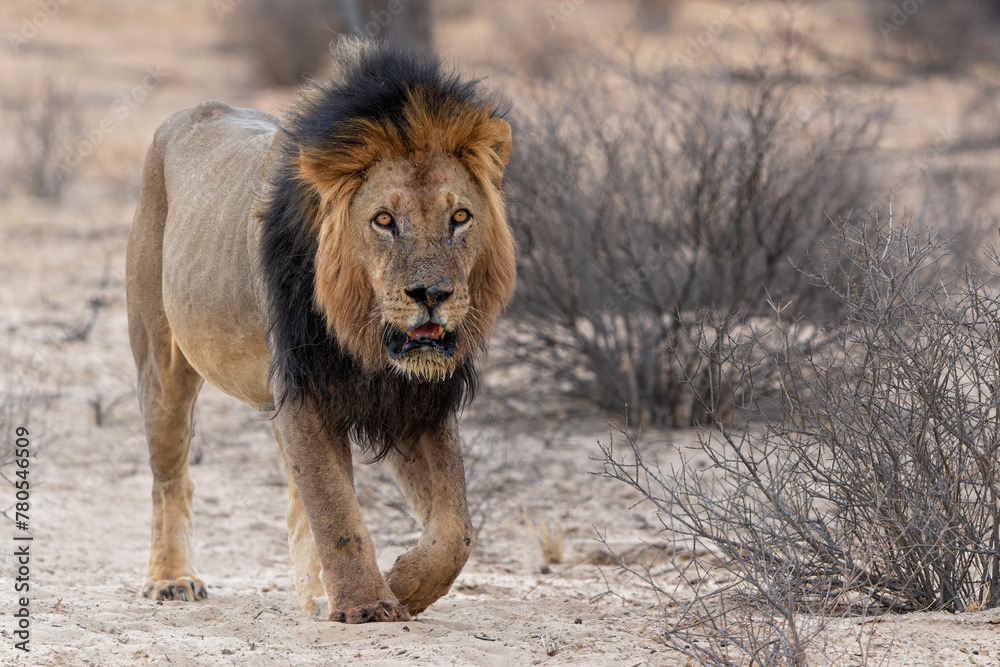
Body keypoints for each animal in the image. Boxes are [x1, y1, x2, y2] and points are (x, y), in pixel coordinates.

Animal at [125, 39, 515, 623]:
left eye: (461, 217)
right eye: (383, 220)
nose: (431, 295)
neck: (364, 341)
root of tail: (185, 114)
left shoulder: (414, 401)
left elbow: (455, 529)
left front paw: (404, 585)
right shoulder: (305, 387)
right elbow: (336, 509)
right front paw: (368, 605)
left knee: (294, 496)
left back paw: (316, 594)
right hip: (162, 366)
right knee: (171, 479)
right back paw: (172, 579)